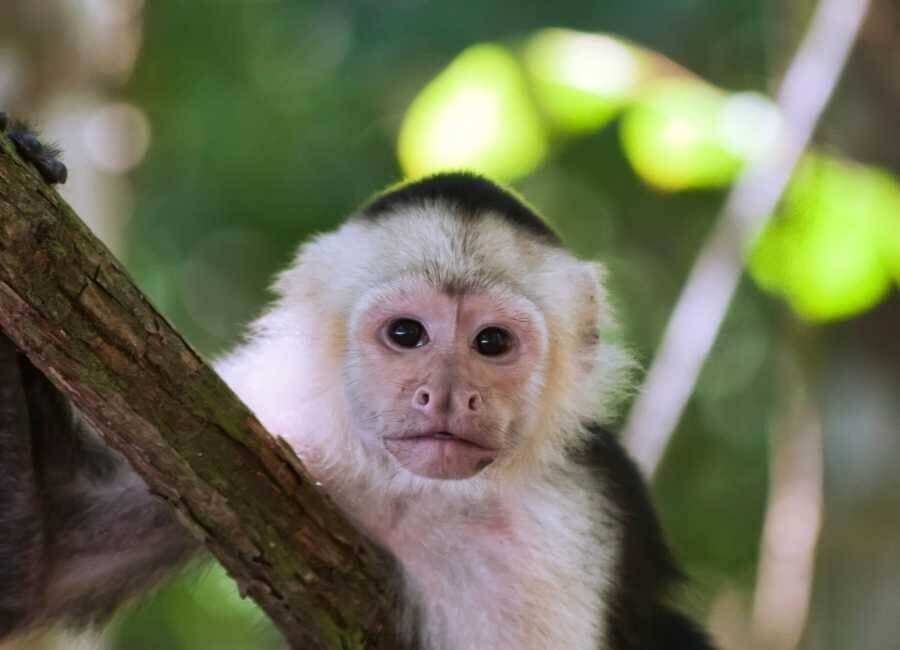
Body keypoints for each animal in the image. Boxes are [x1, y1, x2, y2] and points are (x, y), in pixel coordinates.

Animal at [0, 150, 713, 647]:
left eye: (491, 342)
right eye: (406, 334)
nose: (446, 396)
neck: (413, 490)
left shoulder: (560, 537)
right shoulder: (270, 407)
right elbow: (45, 570)